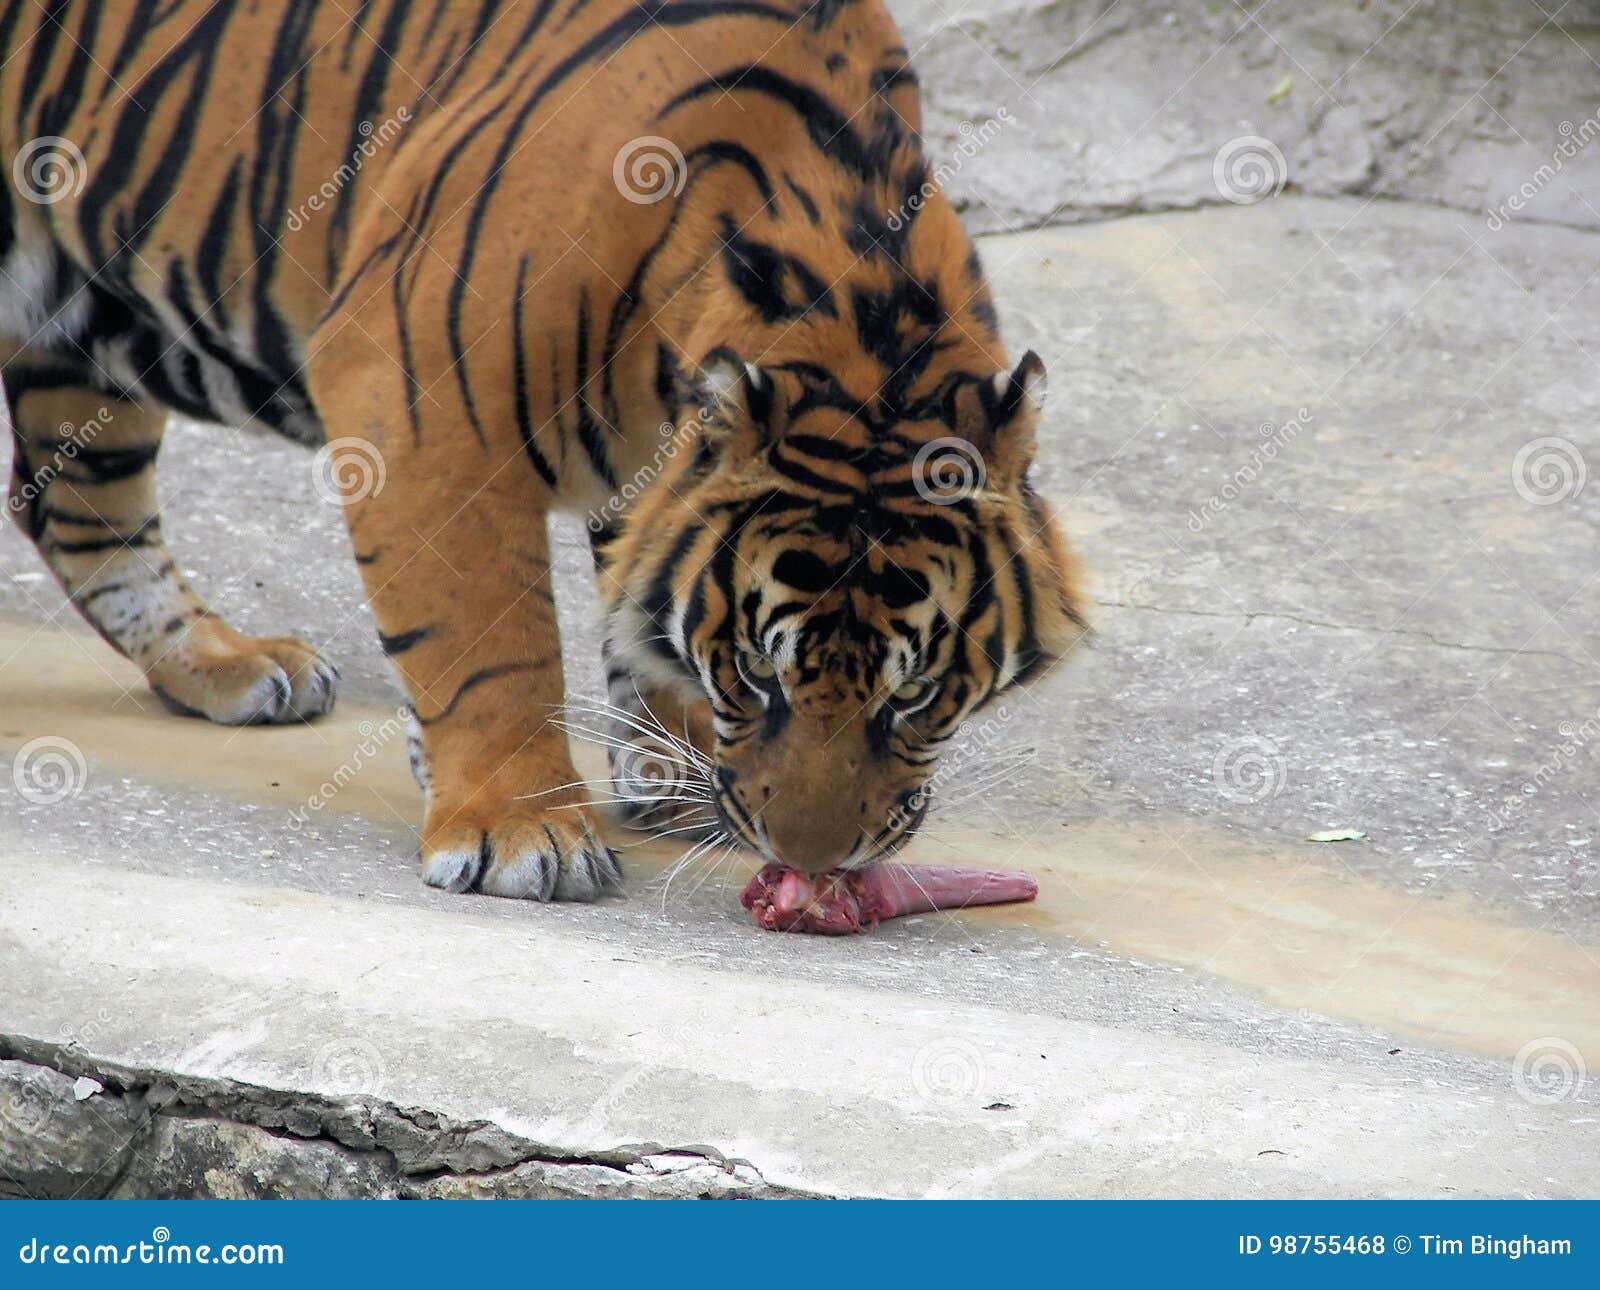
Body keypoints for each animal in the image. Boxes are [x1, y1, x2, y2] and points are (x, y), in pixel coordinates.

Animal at [1, 0, 1086, 901]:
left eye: (912, 695)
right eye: (759, 674)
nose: (809, 861)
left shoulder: (656, 465)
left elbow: (637, 604)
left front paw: (674, 774)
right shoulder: (418, 393)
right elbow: (488, 638)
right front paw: (522, 831)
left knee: (75, 508)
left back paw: (228, 664)